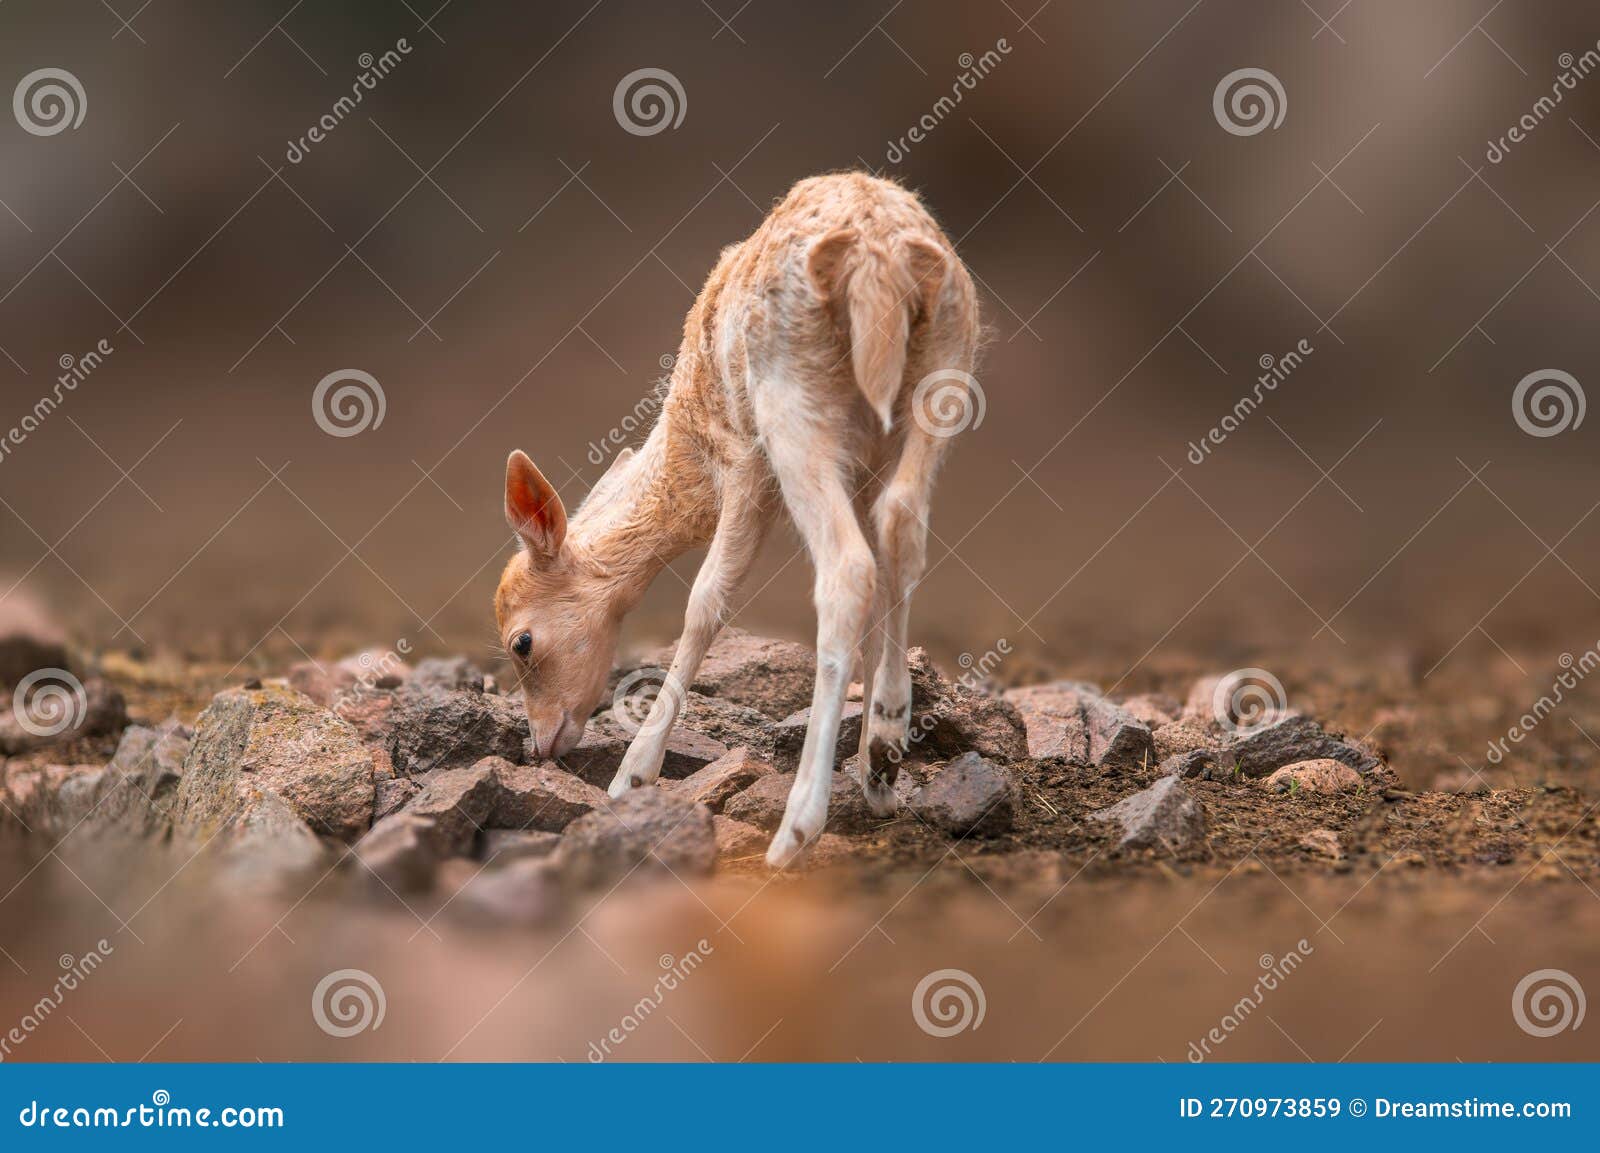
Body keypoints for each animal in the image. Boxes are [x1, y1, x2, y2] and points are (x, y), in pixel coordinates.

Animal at [494, 172, 980, 868]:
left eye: (521, 642)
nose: (538, 746)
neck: (691, 456)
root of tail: (879, 259)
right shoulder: (860, 468)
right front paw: (877, 773)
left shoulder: (744, 461)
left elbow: (705, 601)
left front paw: (633, 775)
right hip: (944, 380)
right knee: (901, 529)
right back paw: (884, 749)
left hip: (790, 404)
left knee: (848, 567)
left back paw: (796, 828)